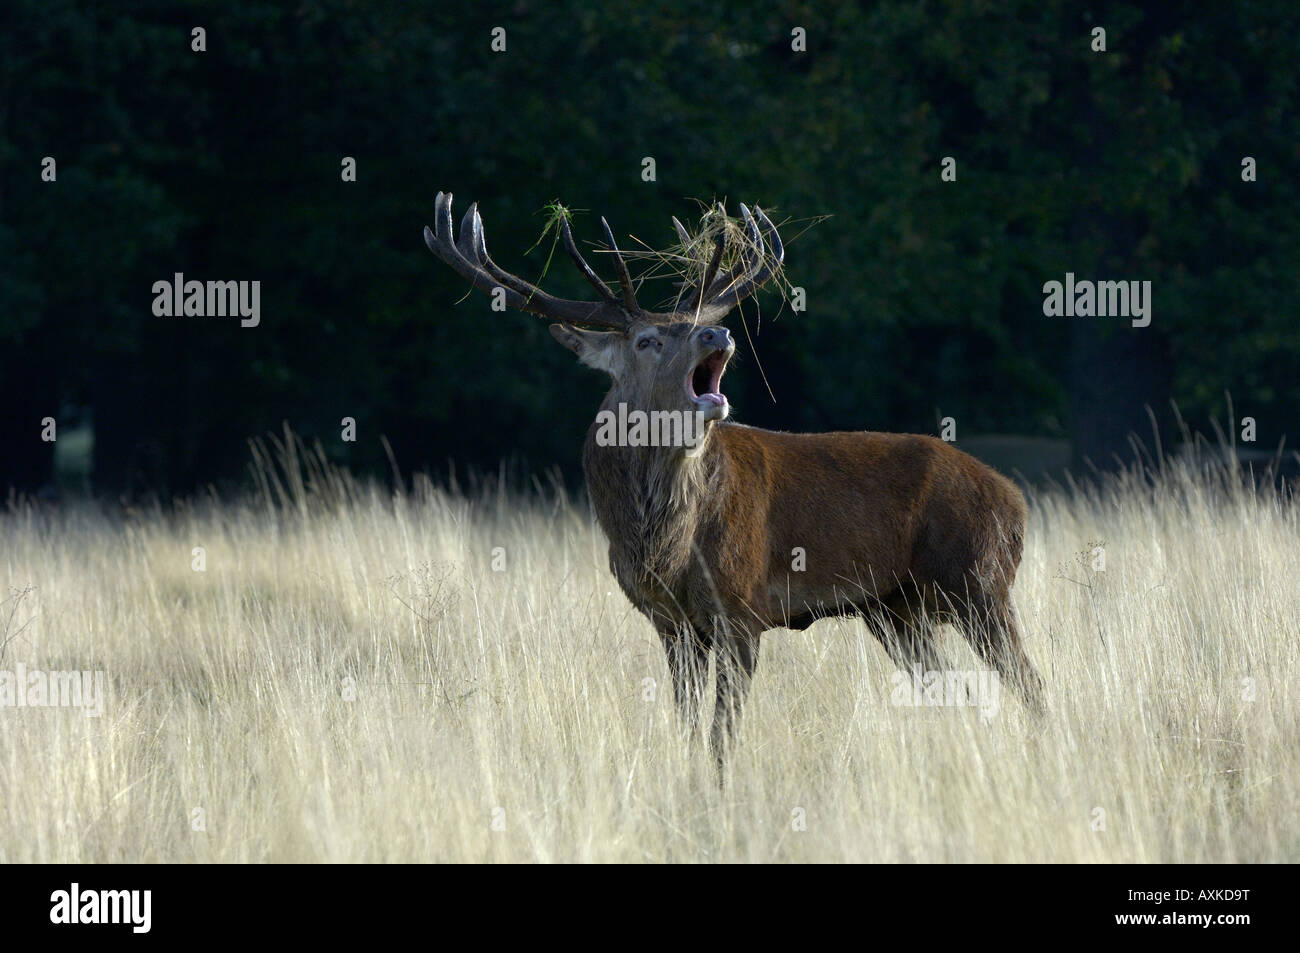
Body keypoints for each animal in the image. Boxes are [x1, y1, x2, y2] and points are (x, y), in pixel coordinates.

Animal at [423, 191, 1045, 763]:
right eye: (648, 340)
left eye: (702, 324)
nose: (717, 336)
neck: (664, 544)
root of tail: (1016, 500)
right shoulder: (669, 623)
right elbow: (687, 726)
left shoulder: (742, 608)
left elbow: (722, 735)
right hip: (896, 609)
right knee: (957, 691)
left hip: (980, 580)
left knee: (1030, 683)